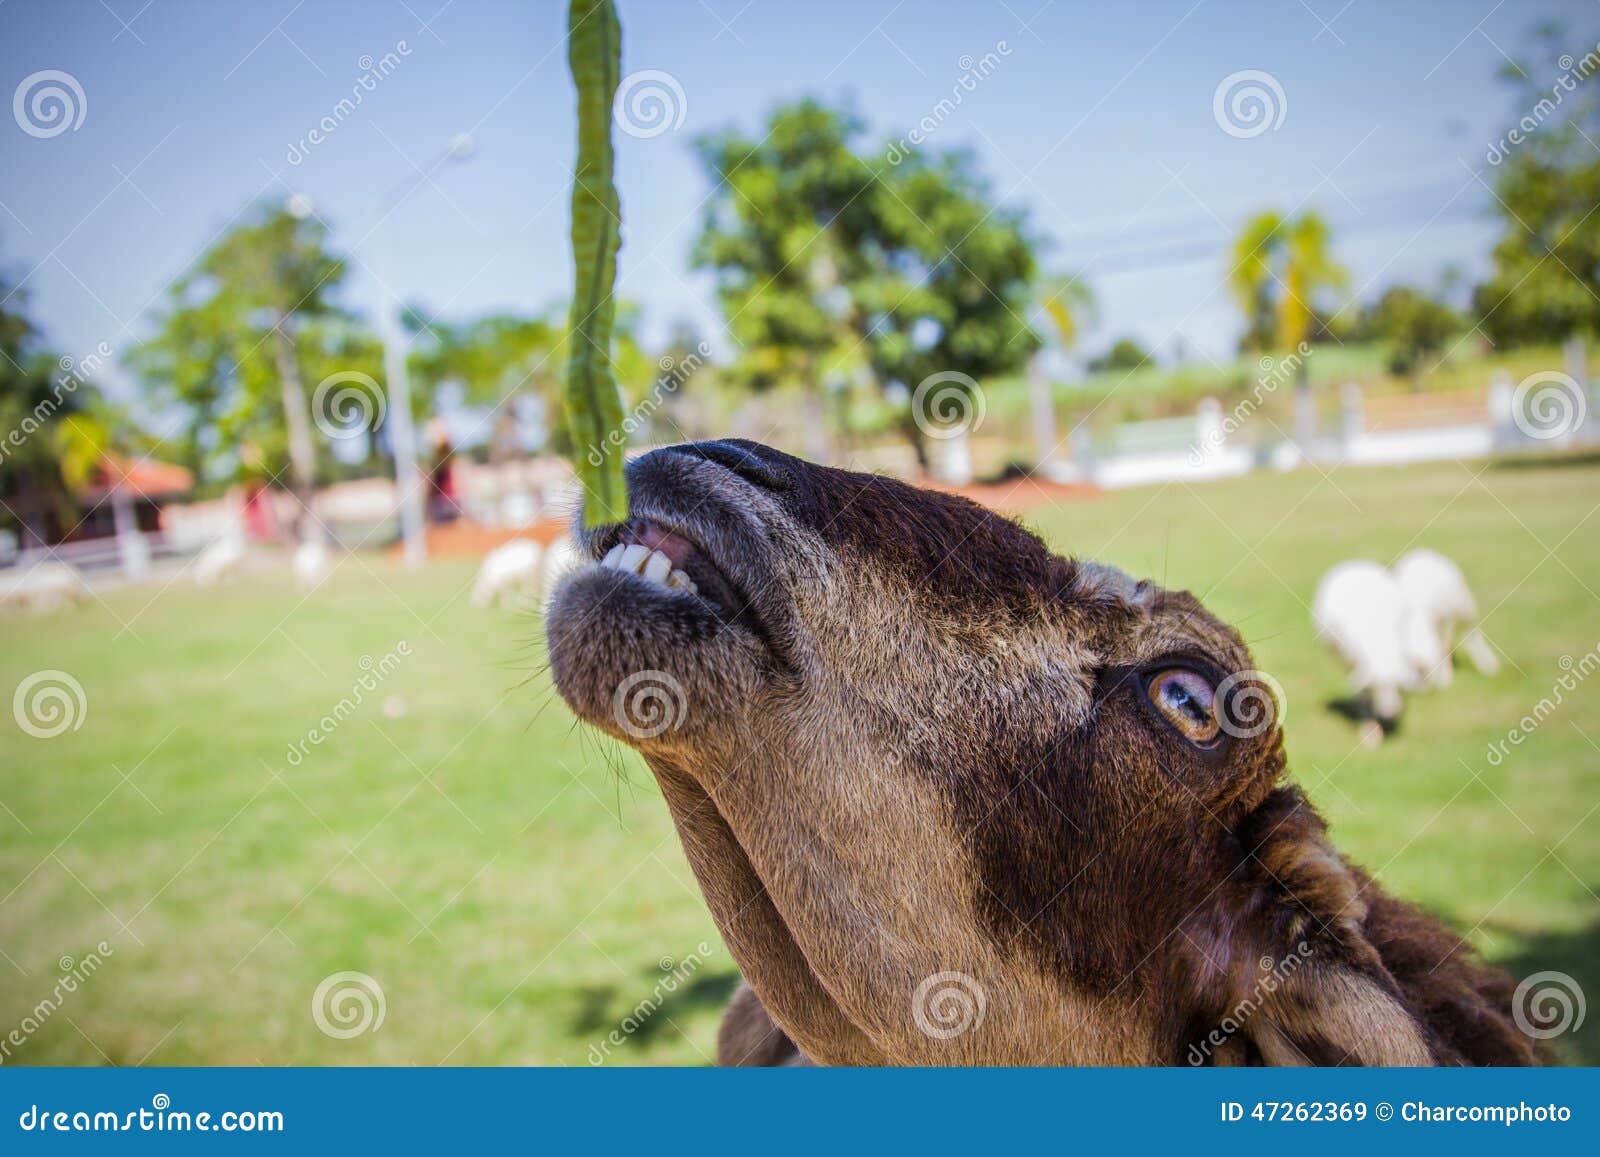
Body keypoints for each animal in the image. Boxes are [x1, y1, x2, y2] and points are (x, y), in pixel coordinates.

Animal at [1312, 560, 1413, 733]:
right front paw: (1370, 729)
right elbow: (1362, 694)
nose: (1391, 712)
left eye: (1397, 685)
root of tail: (1352, 563)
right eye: (1376, 685)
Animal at [1394, 548, 1499, 689]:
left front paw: (1445, 680)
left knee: (1472, 635)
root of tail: (1422, 551)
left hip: (1467, 608)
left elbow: (1444, 647)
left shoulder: (1447, 623)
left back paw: (1490, 667)